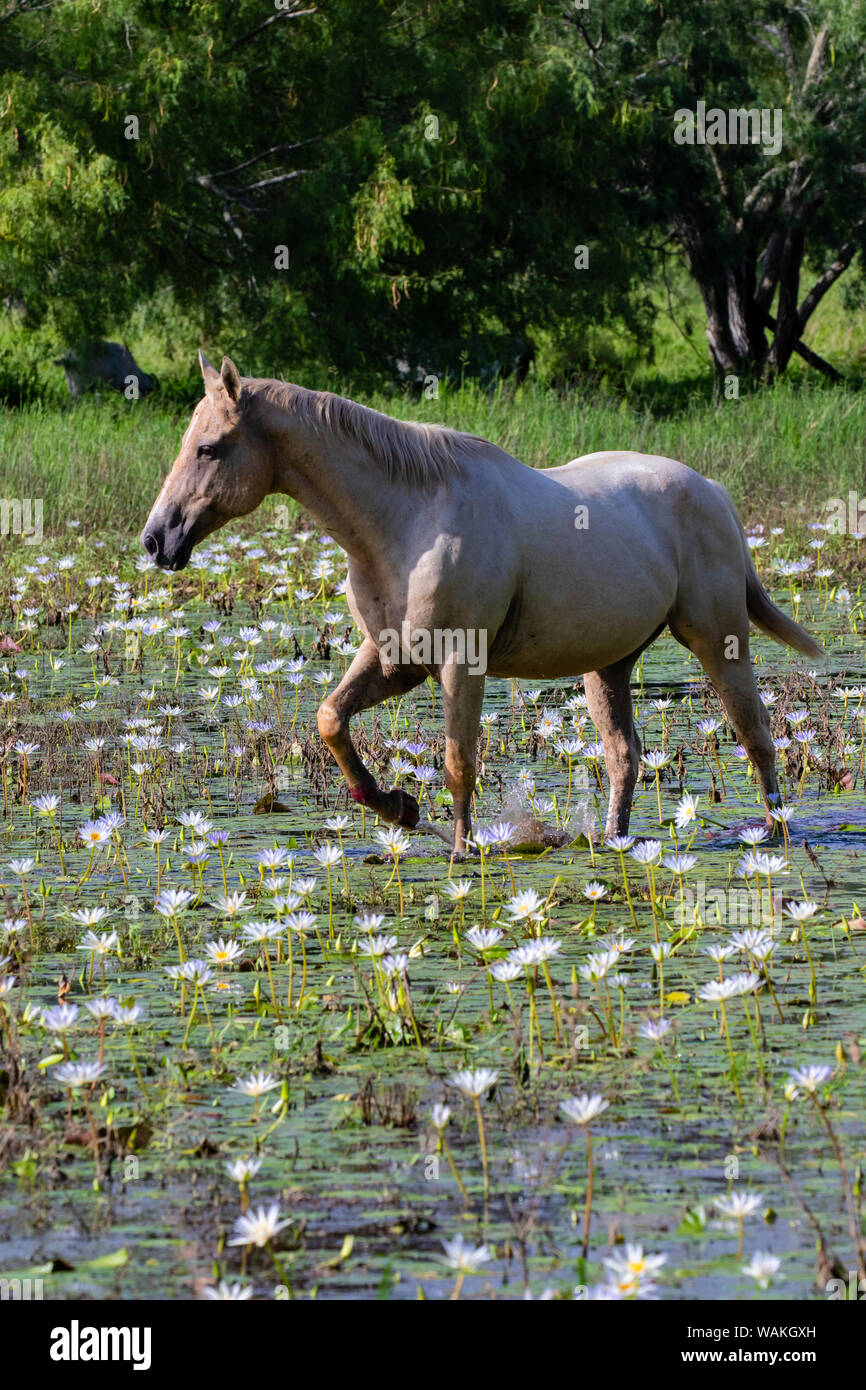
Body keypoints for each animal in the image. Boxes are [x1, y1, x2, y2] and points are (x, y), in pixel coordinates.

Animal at [141, 352, 822, 855]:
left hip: (717, 639)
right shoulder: (394, 661)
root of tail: (712, 490)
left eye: (209, 448)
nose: (156, 540)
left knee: (756, 737)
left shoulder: (460, 664)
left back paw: (775, 835)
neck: (407, 521)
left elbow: (458, 764)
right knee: (623, 757)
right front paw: (396, 806)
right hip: (610, 664)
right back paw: (615, 841)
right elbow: (331, 720)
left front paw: (462, 850)